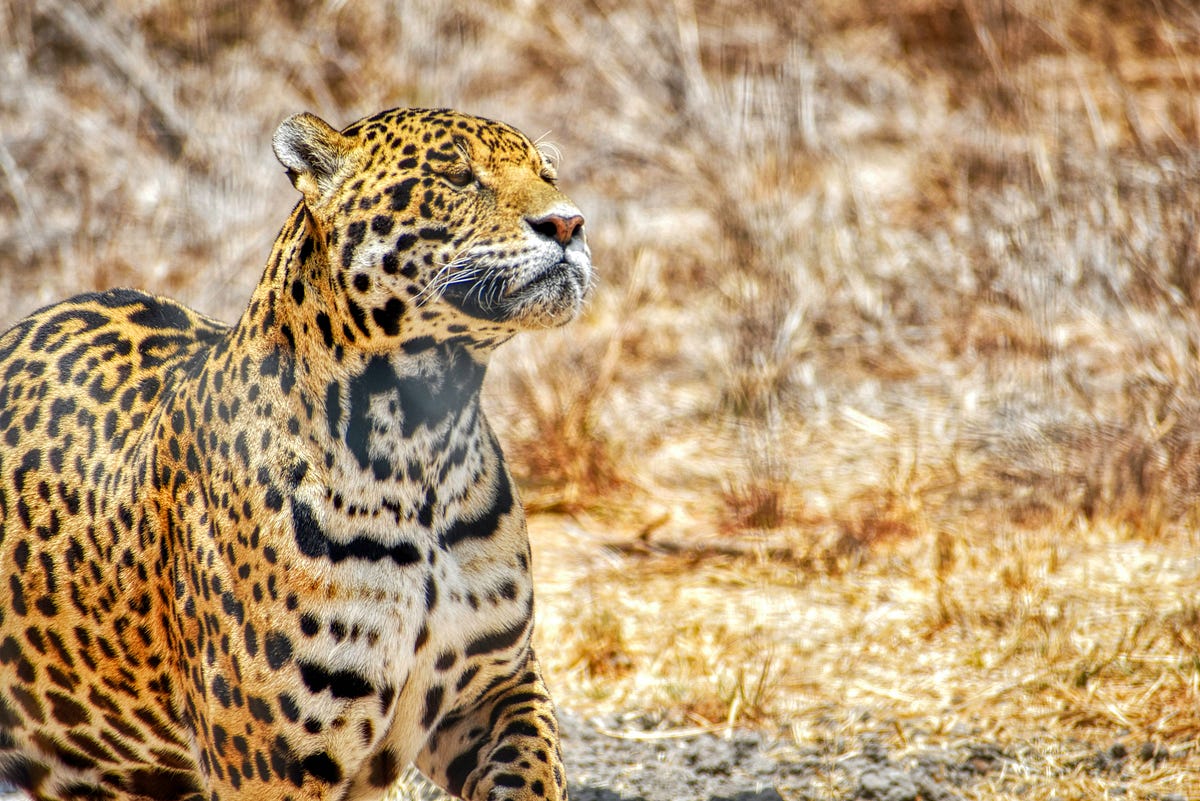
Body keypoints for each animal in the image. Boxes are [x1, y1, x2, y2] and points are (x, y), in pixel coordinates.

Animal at [0, 106, 592, 801]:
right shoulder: (274, 763)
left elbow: (533, 768)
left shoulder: (497, 686)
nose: (569, 223)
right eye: (456, 176)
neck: (426, 439)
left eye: (547, 173)